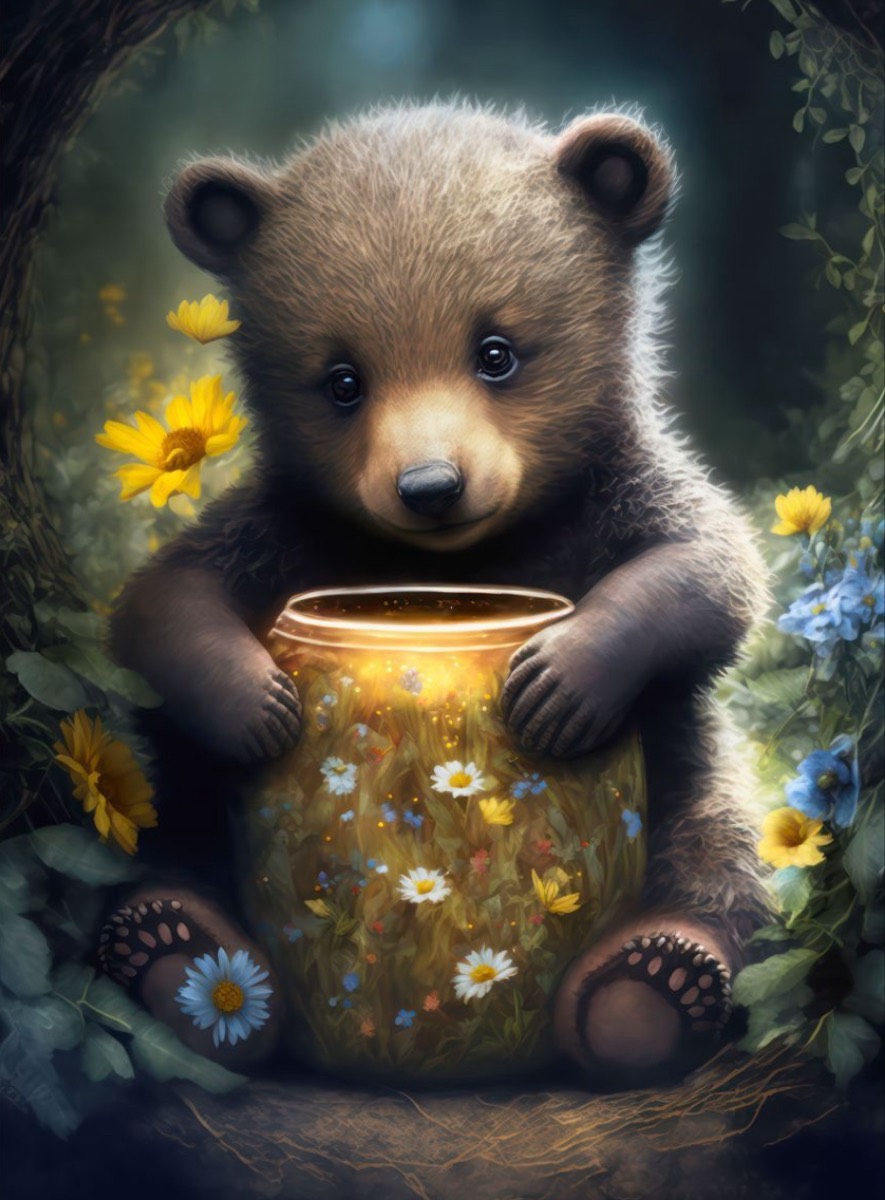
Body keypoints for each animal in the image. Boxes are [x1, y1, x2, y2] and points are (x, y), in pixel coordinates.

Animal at [96, 101, 771, 1087]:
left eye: (496, 352)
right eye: (341, 381)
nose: (428, 486)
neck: (475, 554)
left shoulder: (617, 496)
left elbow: (707, 573)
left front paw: (560, 680)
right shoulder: (290, 531)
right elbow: (164, 599)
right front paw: (256, 703)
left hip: (691, 776)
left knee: (719, 851)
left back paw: (653, 983)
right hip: (176, 807)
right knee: (169, 828)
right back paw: (172, 945)